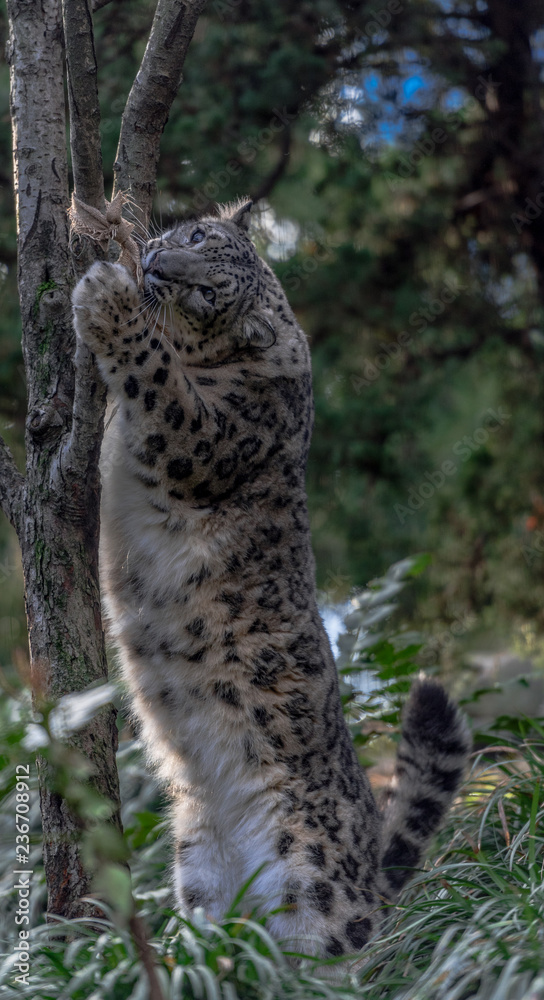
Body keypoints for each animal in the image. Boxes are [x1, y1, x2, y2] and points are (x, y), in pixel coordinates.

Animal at [72, 199, 471, 961]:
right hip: (200, 878)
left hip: (316, 882)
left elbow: (159, 379)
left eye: (206, 295)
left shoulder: (207, 437)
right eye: (195, 236)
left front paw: (106, 300)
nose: (157, 265)